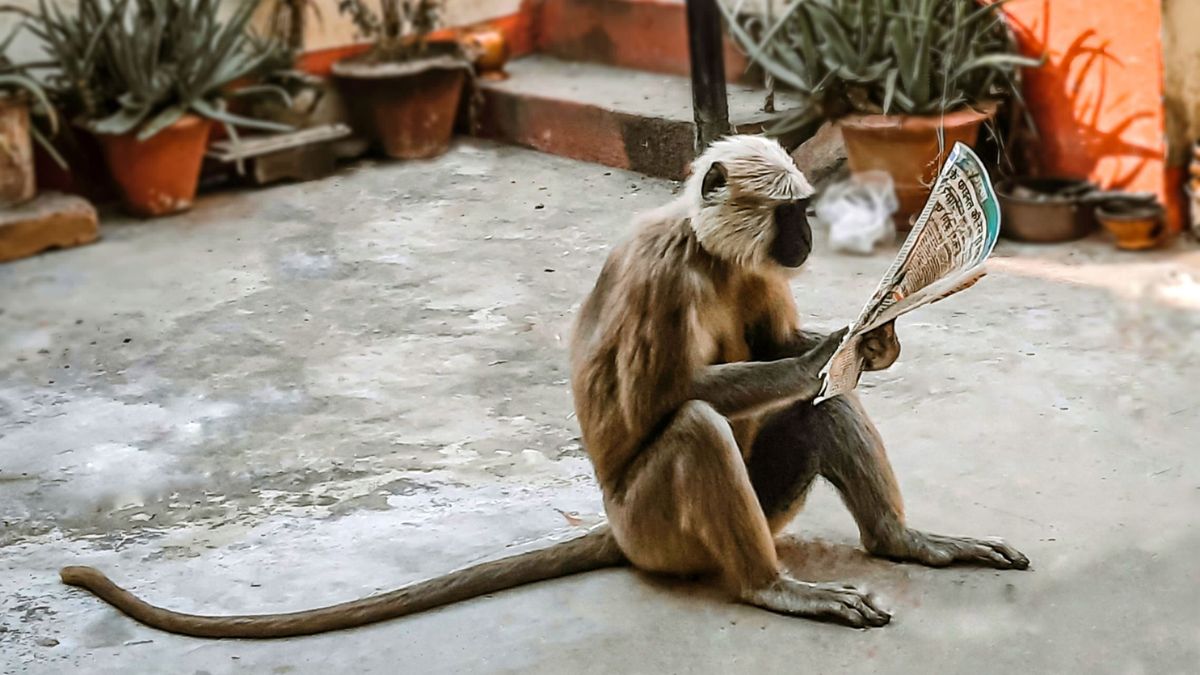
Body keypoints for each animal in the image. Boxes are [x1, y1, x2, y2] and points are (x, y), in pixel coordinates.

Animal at [60, 134, 1027, 639]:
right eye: (792, 213)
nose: (805, 239)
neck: (706, 253)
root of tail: (619, 533)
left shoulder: (749, 273)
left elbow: (805, 366)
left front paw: (877, 338)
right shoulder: (660, 273)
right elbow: (675, 400)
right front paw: (829, 346)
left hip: (765, 501)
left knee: (824, 411)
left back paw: (907, 541)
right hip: (660, 528)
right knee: (698, 428)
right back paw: (770, 585)